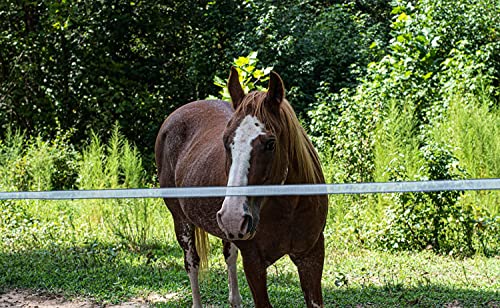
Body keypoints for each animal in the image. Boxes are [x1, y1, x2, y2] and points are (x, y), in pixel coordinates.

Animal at [156, 68, 328, 308]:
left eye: (270, 143)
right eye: (225, 141)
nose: (234, 216)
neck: (288, 209)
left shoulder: (311, 257)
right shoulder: (254, 263)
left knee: (229, 257)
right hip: (182, 221)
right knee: (192, 264)